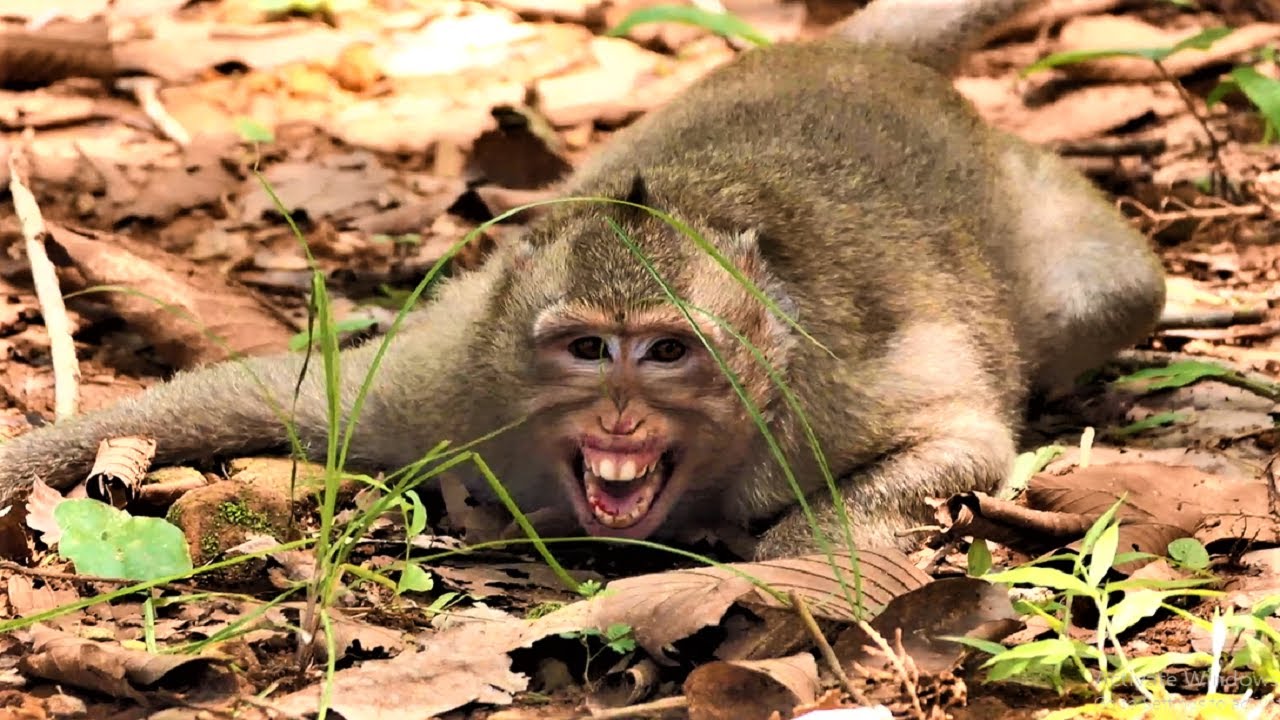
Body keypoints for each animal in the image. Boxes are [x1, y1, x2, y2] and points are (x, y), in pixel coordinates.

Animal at [0, 0, 1165, 559]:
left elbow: (961, 440)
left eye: (666, 352)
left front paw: (799, 557)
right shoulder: (449, 397)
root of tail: (863, 60)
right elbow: (226, 402)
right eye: (586, 349)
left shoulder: (828, 403)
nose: (617, 418)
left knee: (1112, 297)